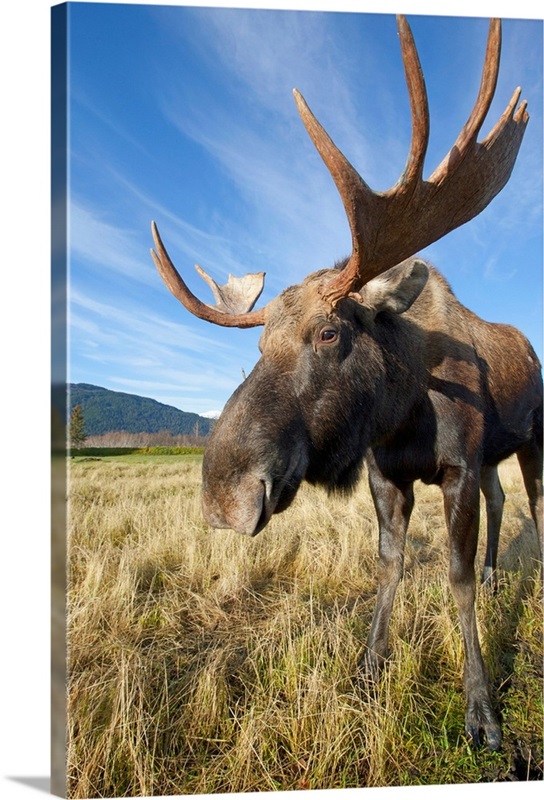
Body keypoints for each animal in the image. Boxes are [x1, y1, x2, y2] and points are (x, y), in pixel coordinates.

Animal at [150, 16, 542, 751]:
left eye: (331, 332)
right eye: (257, 342)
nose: (224, 496)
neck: (405, 408)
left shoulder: (458, 467)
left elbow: (455, 579)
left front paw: (482, 710)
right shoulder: (387, 474)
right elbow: (390, 566)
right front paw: (368, 668)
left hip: (533, 439)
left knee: (535, 500)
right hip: (495, 454)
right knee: (506, 501)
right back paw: (501, 576)